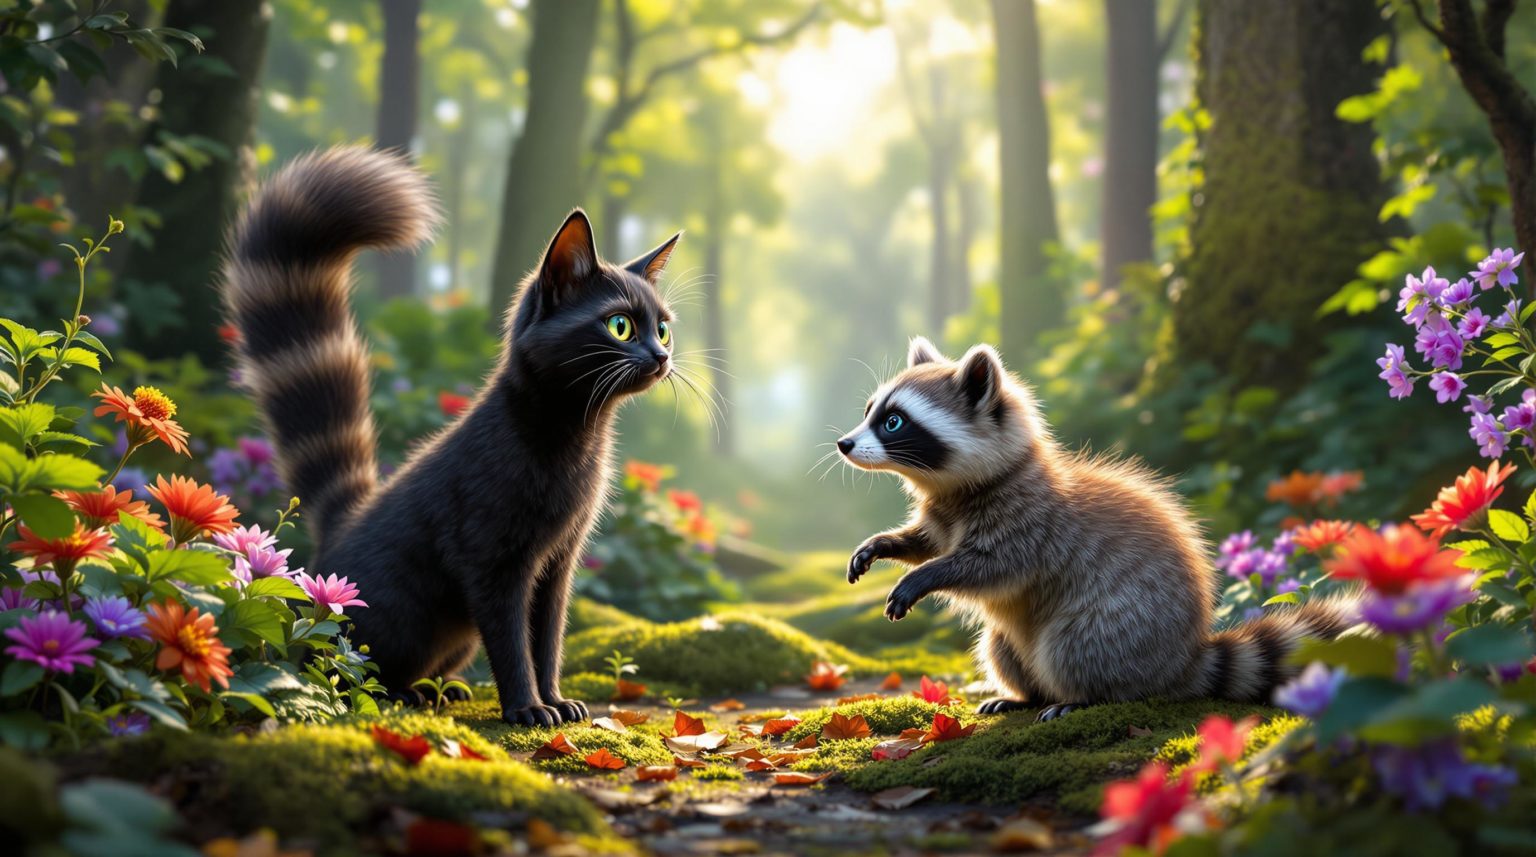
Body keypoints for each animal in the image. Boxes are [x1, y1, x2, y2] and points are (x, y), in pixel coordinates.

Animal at [837, 337, 1355, 720]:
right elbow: (927, 540)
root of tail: (1184, 660)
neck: (952, 487)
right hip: (1026, 640)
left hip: (1121, 628)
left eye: (894, 422)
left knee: (1074, 648)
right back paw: (1027, 694)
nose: (843, 443)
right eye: (869, 412)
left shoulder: (1029, 523)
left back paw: (1085, 696)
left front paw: (924, 577)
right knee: (998, 643)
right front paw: (887, 544)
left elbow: (991, 568)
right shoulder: (944, 513)